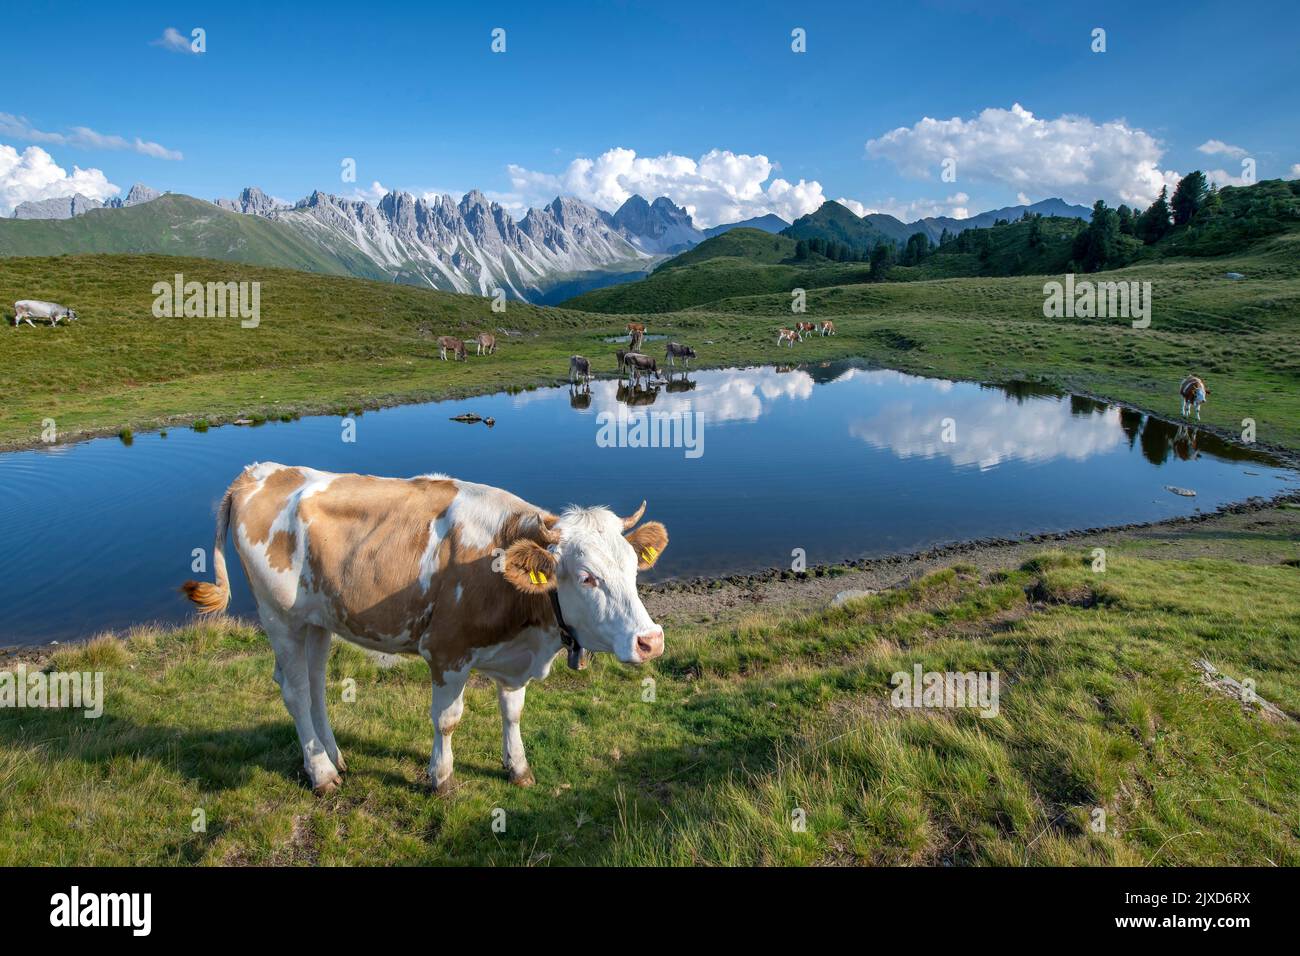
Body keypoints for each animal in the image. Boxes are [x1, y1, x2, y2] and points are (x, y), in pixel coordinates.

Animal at [181, 464, 669, 795]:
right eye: (587, 577)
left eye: (633, 567)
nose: (651, 641)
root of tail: (259, 472)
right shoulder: (446, 651)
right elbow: (447, 719)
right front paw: (441, 777)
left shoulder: (514, 657)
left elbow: (512, 712)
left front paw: (517, 767)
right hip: (280, 617)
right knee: (295, 689)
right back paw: (320, 774)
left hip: (319, 618)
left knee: (316, 683)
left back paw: (334, 757)